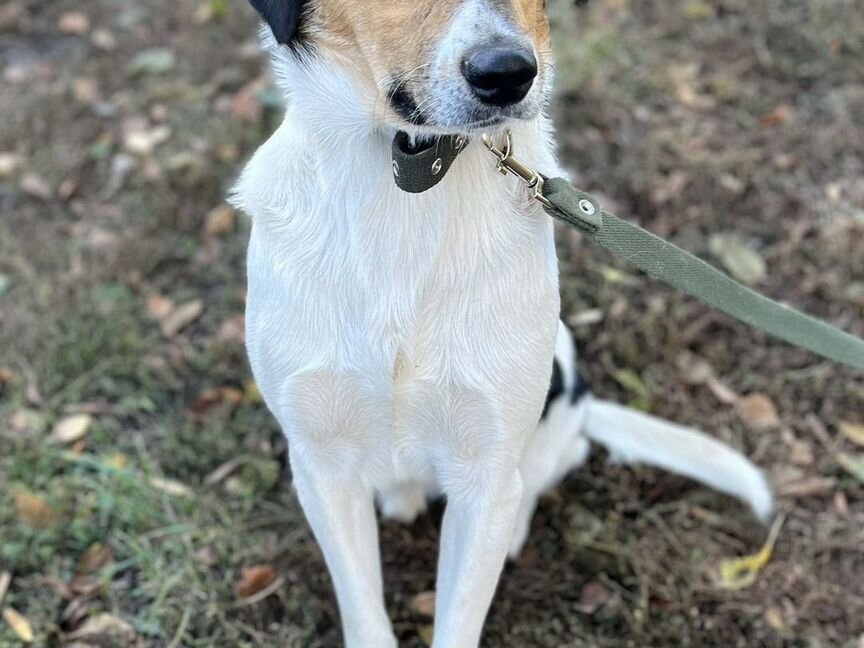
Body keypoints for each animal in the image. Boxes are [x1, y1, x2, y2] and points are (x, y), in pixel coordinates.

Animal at [233, 2, 772, 644]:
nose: (508, 75)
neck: (404, 179)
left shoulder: (484, 473)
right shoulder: (321, 464)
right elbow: (364, 611)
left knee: (542, 472)